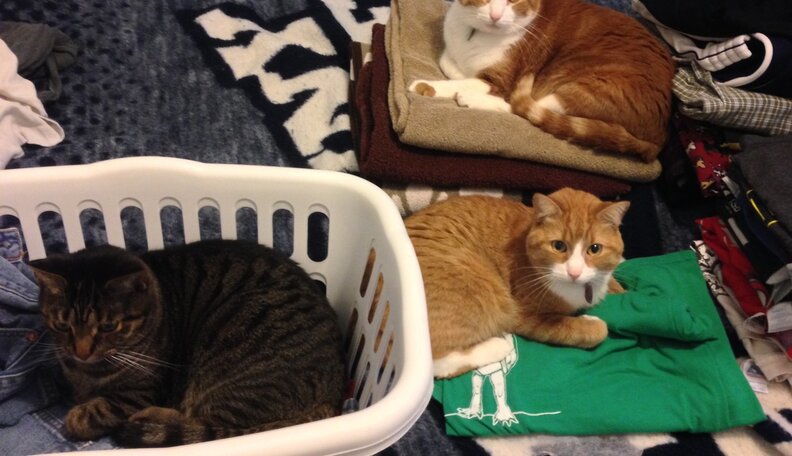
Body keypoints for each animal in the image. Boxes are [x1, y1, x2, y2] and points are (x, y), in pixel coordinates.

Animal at [29, 239, 346, 447]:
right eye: (62, 325)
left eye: (108, 326)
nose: (81, 351)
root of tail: (336, 395)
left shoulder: (137, 394)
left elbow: (98, 411)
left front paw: (77, 418)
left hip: (237, 378)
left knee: (209, 425)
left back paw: (148, 420)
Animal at [404, 188, 629, 378]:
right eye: (558, 246)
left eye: (594, 249)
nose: (574, 272)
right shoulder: (526, 316)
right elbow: (594, 330)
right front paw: (591, 321)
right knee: (437, 362)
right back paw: (498, 346)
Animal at [408, 0, 675, 162]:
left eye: (513, 1)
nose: (495, 16)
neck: (474, 35)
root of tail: (661, 136)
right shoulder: (452, 54)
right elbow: (448, 63)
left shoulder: (501, 80)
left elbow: (471, 83)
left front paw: (425, 87)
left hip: (584, 85)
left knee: (522, 107)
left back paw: (470, 99)